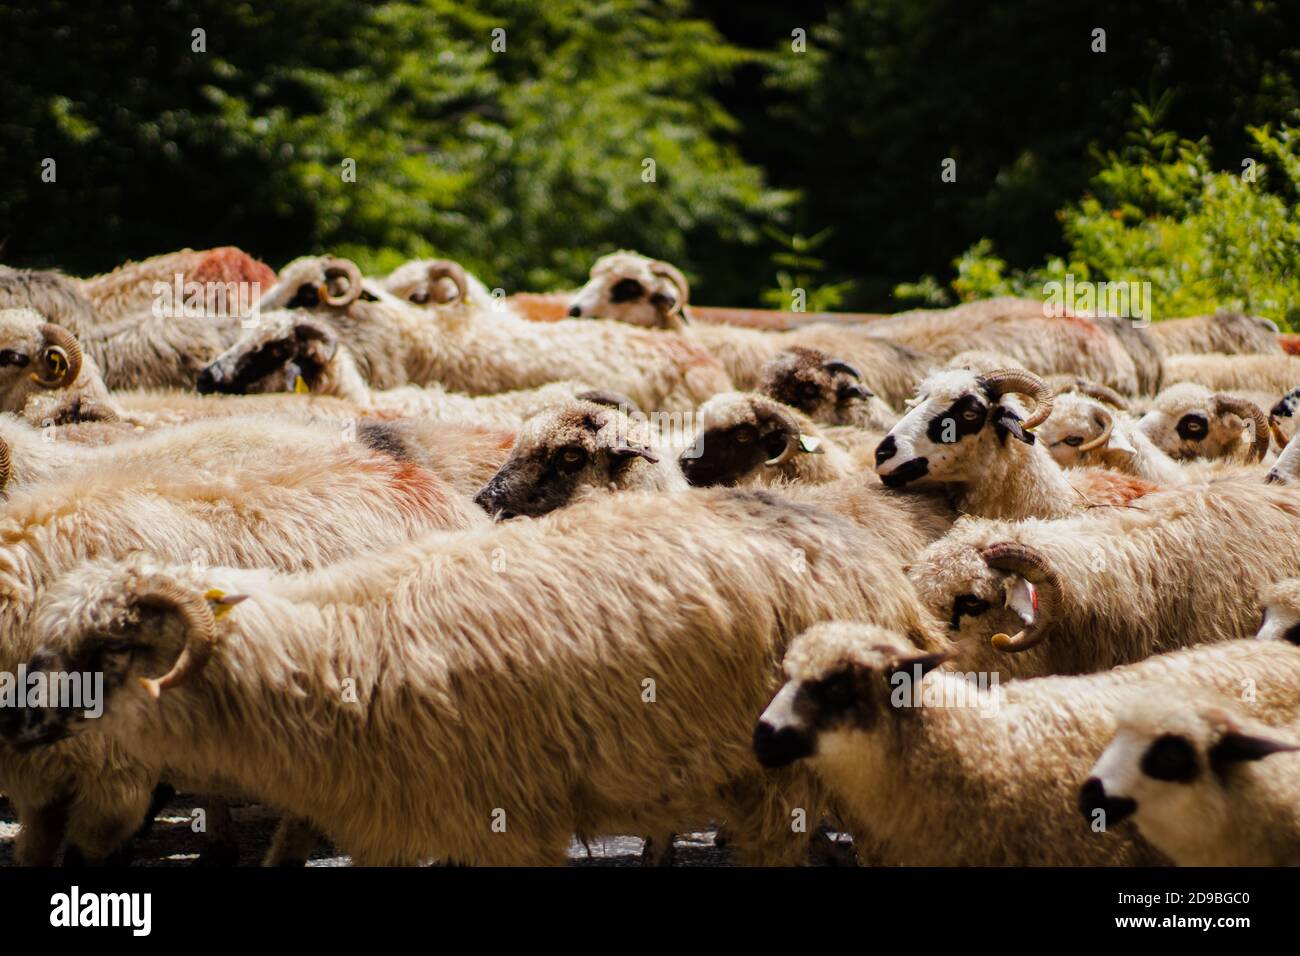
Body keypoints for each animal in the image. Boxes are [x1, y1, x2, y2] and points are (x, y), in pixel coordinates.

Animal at [7, 486, 943, 866]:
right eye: (45, 646)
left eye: (108, 653)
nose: (15, 724)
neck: (339, 651)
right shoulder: (387, 826)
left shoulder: (509, 828)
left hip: (783, 778)